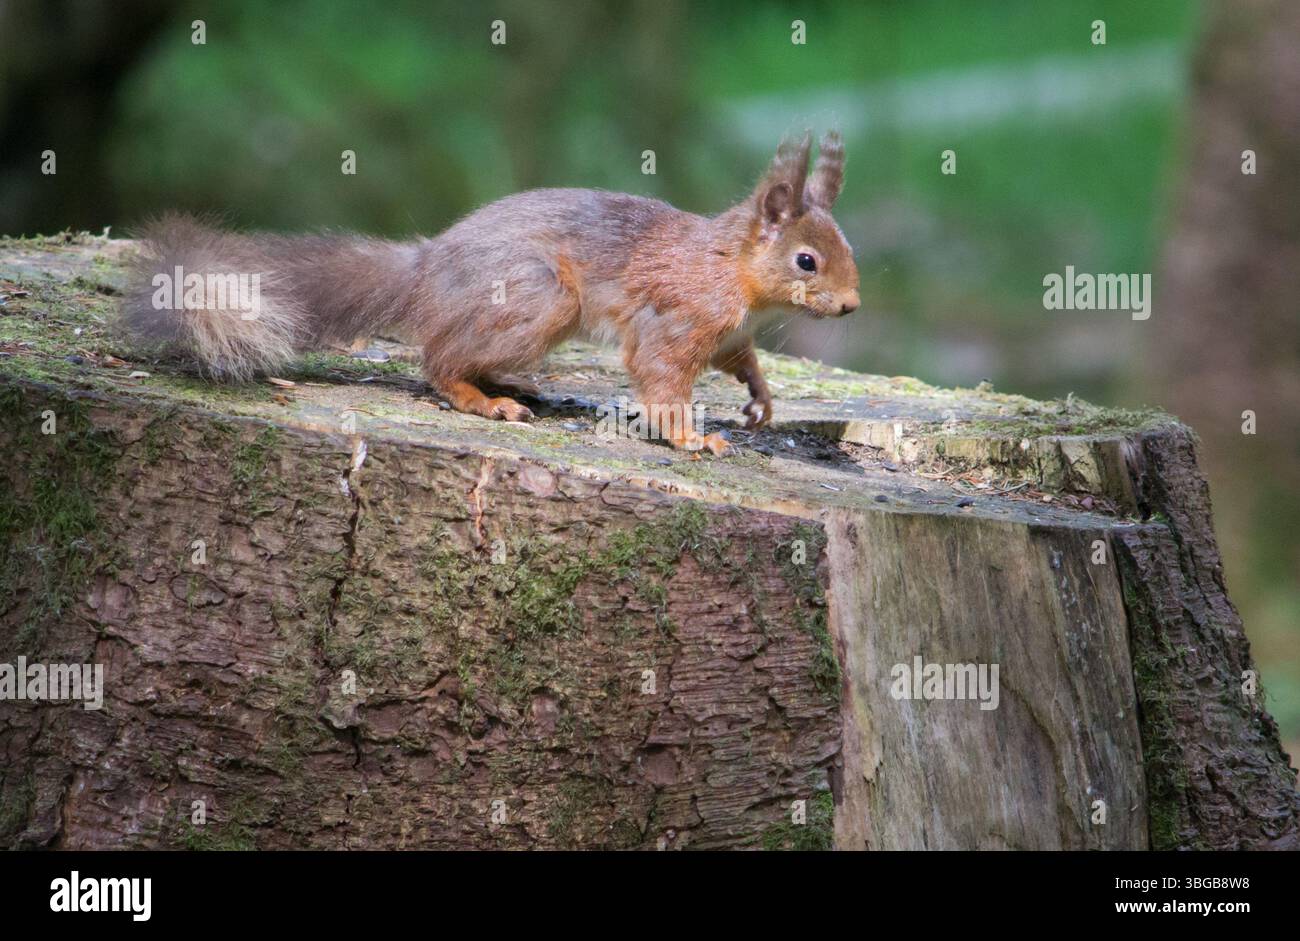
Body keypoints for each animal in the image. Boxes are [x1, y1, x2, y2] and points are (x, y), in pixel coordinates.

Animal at [120, 131, 859, 455]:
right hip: (540, 296)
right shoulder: (678, 316)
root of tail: (427, 269)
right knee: (437, 362)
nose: (852, 308)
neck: (733, 270)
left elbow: (744, 362)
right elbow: (661, 376)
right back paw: (483, 398)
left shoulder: (733, 332)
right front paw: (691, 438)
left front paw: (761, 399)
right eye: (806, 261)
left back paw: (509, 382)